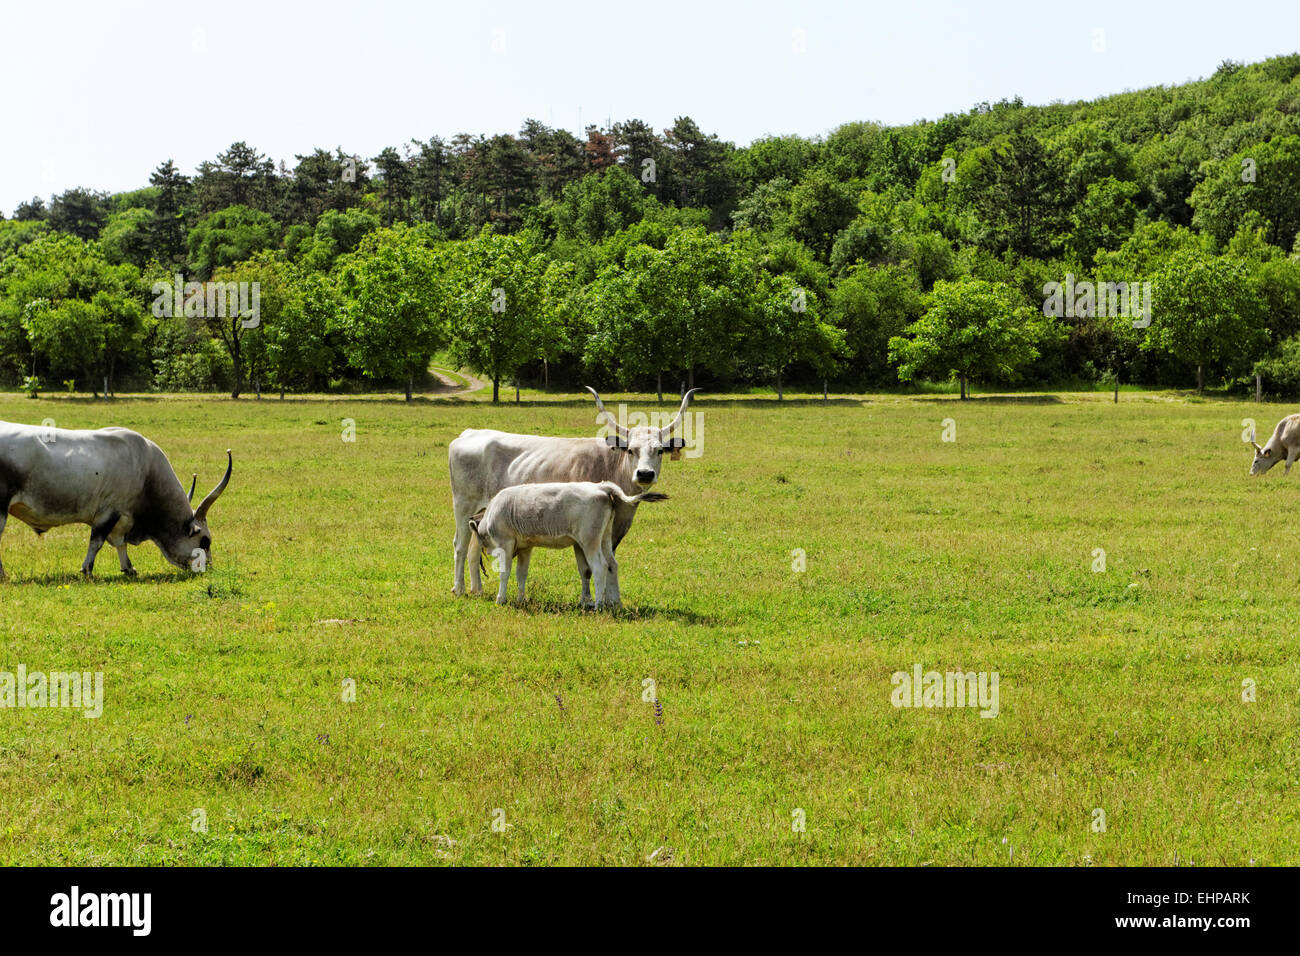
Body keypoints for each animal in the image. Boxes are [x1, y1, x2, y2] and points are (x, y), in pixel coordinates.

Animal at [0, 422, 232, 579]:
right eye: (205, 541)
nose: (209, 568)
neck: (146, 471)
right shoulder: (108, 513)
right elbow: (97, 541)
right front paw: (87, 570)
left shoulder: (122, 517)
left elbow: (120, 543)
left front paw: (128, 568)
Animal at [468, 481, 668, 608]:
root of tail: (600, 486)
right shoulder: (526, 547)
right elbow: (521, 574)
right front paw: (521, 599)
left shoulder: (505, 544)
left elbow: (505, 573)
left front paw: (500, 599)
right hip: (604, 538)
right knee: (612, 565)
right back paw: (615, 602)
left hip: (590, 541)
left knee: (600, 567)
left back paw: (599, 605)